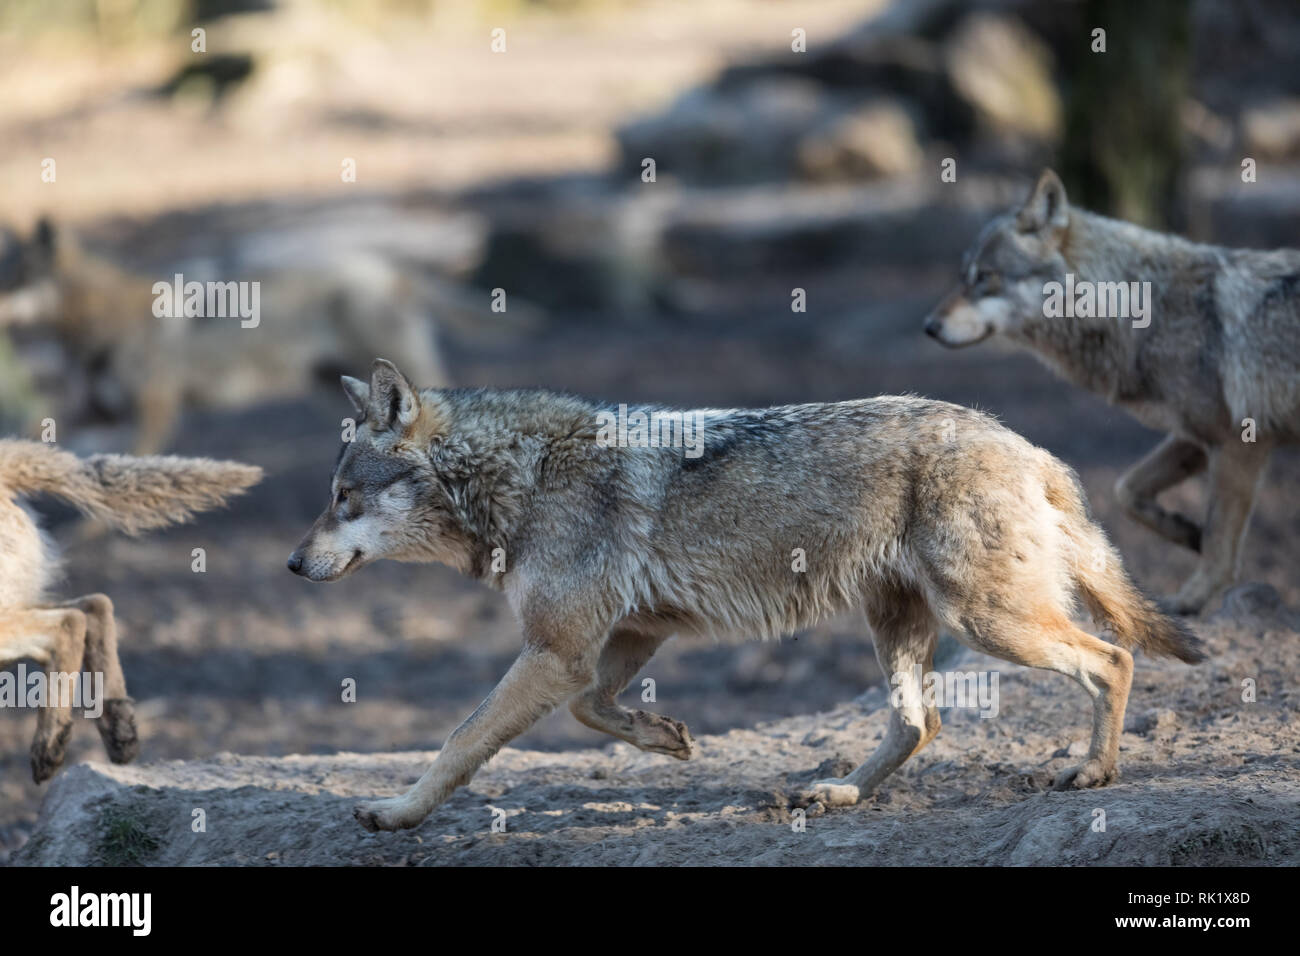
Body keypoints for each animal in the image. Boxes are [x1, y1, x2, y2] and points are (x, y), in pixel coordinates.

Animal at [288, 359, 1203, 833]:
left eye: (342, 499)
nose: (294, 563)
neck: (524, 476)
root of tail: (1030, 447)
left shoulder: (558, 649)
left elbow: (460, 741)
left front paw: (398, 812)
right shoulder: (626, 638)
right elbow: (591, 711)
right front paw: (664, 738)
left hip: (988, 622)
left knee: (1111, 658)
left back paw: (1094, 771)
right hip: (903, 625)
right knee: (922, 722)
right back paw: (839, 795)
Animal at [925, 169, 1300, 614]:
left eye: (985, 276)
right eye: (964, 276)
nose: (929, 326)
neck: (1145, 311)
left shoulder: (1238, 442)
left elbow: (1220, 546)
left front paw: (1190, 601)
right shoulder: (1193, 437)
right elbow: (1127, 492)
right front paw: (1186, 531)